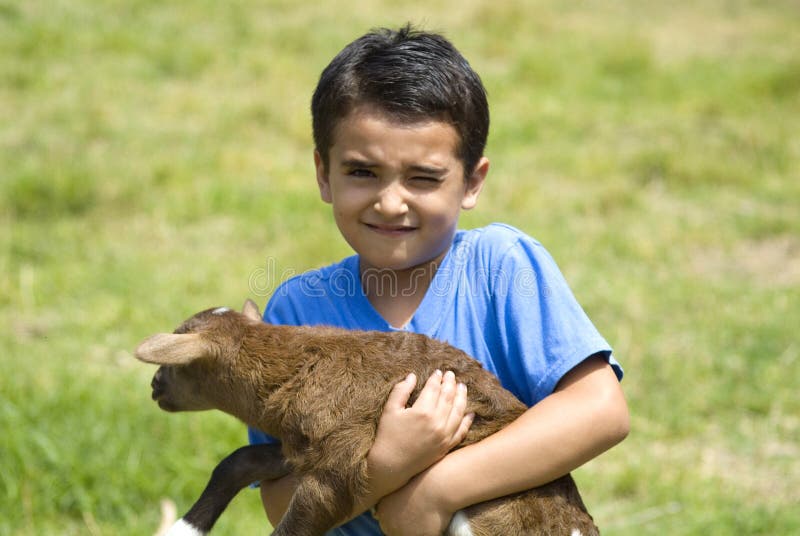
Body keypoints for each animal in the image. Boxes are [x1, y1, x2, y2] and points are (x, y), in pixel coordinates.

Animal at [135, 300, 600, 536]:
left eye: (174, 366)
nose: (154, 386)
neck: (301, 366)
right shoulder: (302, 447)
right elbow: (238, 461)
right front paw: (182, 527)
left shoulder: (339, 464)